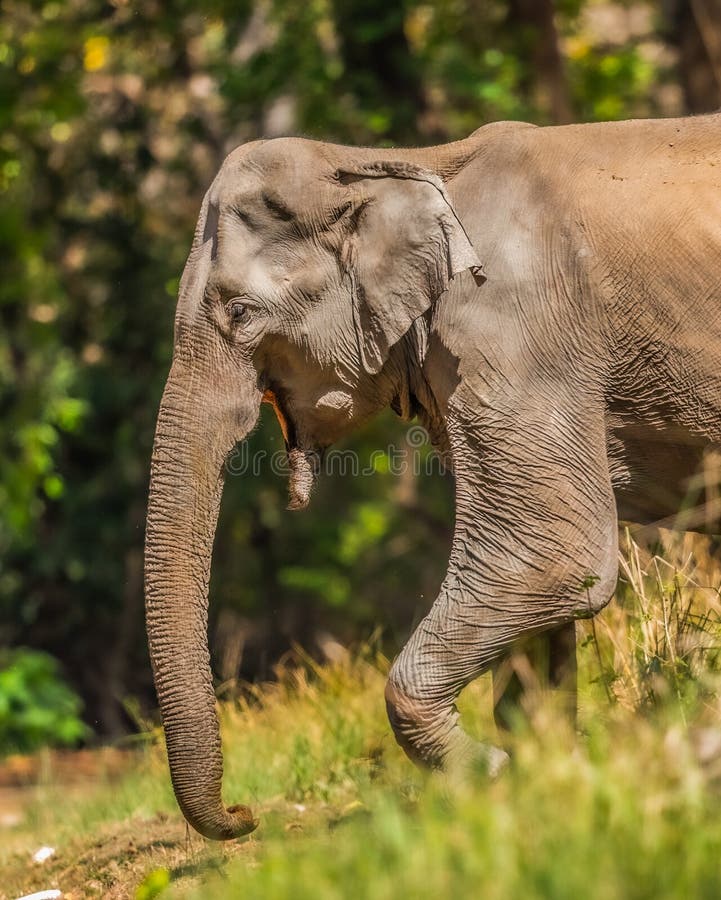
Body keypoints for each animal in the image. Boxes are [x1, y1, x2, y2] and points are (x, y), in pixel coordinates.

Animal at [145, 112, 721, 840]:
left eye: (240, 314)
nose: (244, 815)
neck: (389, 165)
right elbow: (542, 585)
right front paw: (536, 772)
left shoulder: (510, 332)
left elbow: (553, 557)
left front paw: (492, 770)